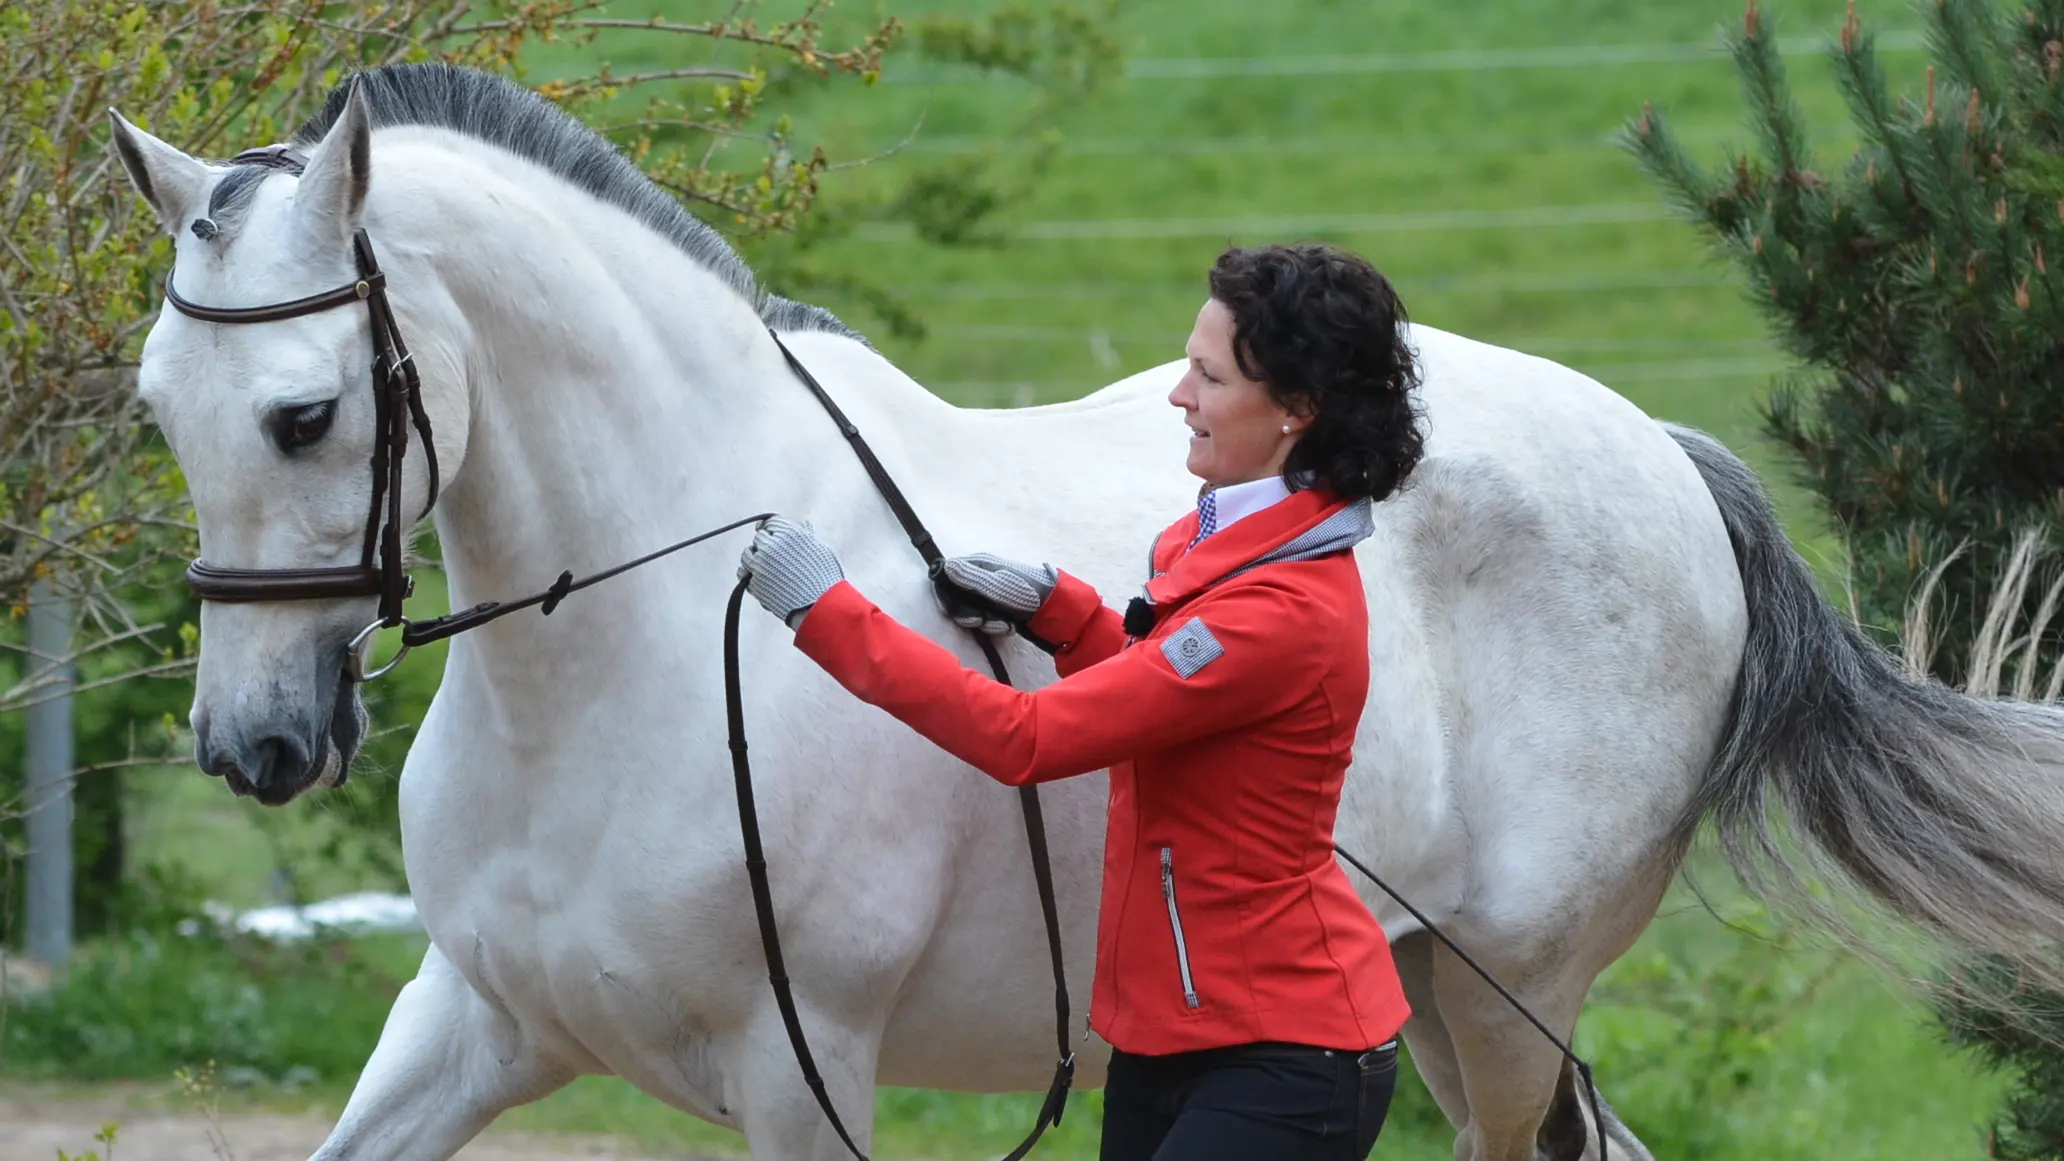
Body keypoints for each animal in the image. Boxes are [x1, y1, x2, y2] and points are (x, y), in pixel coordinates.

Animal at [107, 63, 2064, 1161]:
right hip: (1440, 991)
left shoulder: (802, 1073)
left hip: (1512, 998)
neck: (623, 652)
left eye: (305, 416)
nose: (257, 747)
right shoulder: (471, 1025)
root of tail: (1663, 453)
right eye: (155, 409)